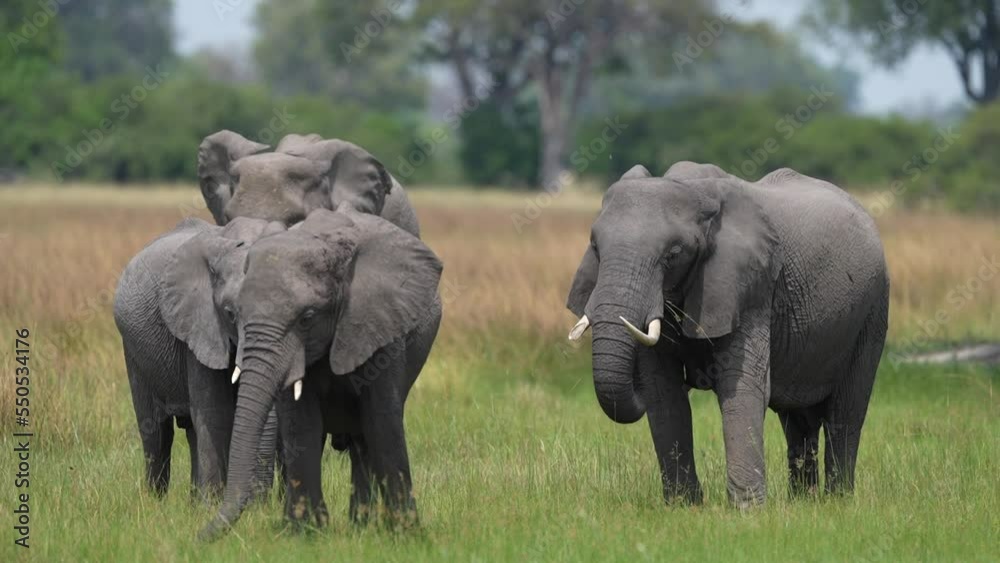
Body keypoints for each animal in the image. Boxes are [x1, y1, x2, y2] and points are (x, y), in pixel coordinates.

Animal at [113, 216, 285, 499]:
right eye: (229, 313)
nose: (260, 502)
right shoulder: (197, 325)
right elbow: (216, 412)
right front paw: (214, 504)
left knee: (191, 429)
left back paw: (194, 502)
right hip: (133, 351)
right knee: (156, 432)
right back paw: (154, 502)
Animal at [198, 208, 443, 540]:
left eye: (308, 318)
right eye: (233, 314)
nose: (197, 537)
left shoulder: (380, 326)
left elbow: (382, 420)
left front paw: (405, 534)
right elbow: (302, 423)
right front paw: (304, 532)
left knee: (365, 438)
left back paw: (363, 525)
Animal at [565, 162, 889, 508]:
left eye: (673, 253)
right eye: (595, 247)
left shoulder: (751, 285)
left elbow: (742, 384)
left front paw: (747, 509)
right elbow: (662, 390)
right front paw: (683, 506)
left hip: (872, 310)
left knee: (845, 413)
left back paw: (837, 500)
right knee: (797, 421)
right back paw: (803, 500)